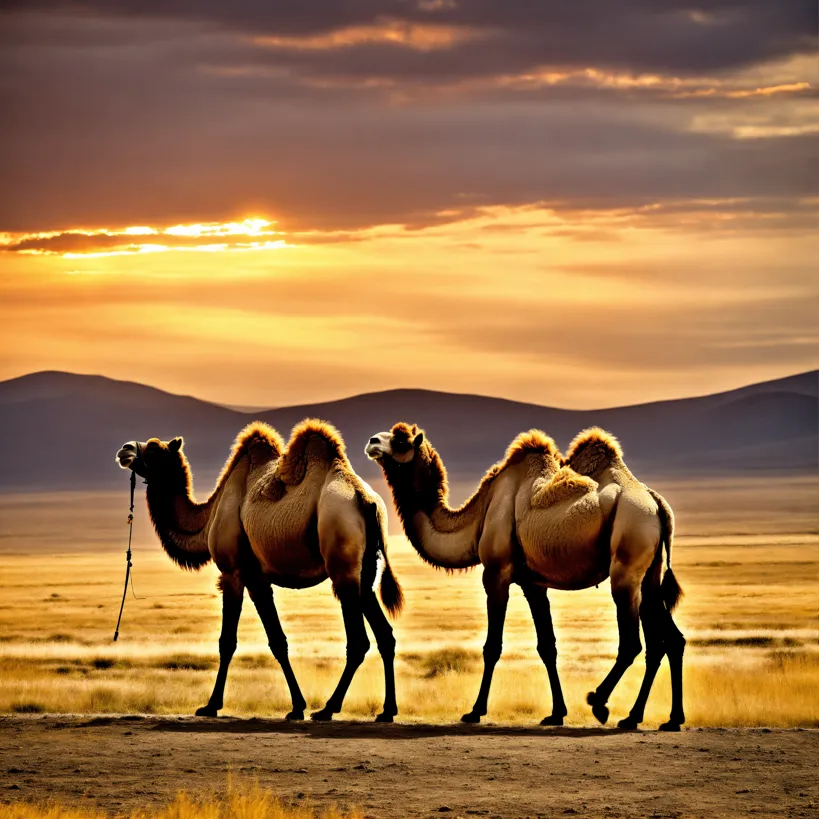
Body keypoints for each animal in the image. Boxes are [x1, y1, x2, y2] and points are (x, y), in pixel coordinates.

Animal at [115, 419, 403, 722]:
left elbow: (227, 641)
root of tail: (365, 500)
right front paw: (296, 707)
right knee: (385, 636)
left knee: (358, 641)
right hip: (366, 574)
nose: (125, 449)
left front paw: (211, 705)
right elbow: (278, 641)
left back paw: (328, 708)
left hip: (342, 562)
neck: (208, 516)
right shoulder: (258, 578)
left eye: (154, 447)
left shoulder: (233, 572)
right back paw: (387, 710)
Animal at [366, 423, 684, 730]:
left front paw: (475, 711)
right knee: (668, 640)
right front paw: (556, 714)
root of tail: (658, 505)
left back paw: (599, 702)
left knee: (633, 642)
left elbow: (492, 646)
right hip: (649, 576)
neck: (480, 517)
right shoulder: (533, 583)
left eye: (401, 441)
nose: (371, 442)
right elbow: (547, 646)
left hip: (626, 562)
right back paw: (657, 719)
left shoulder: (496, 573)